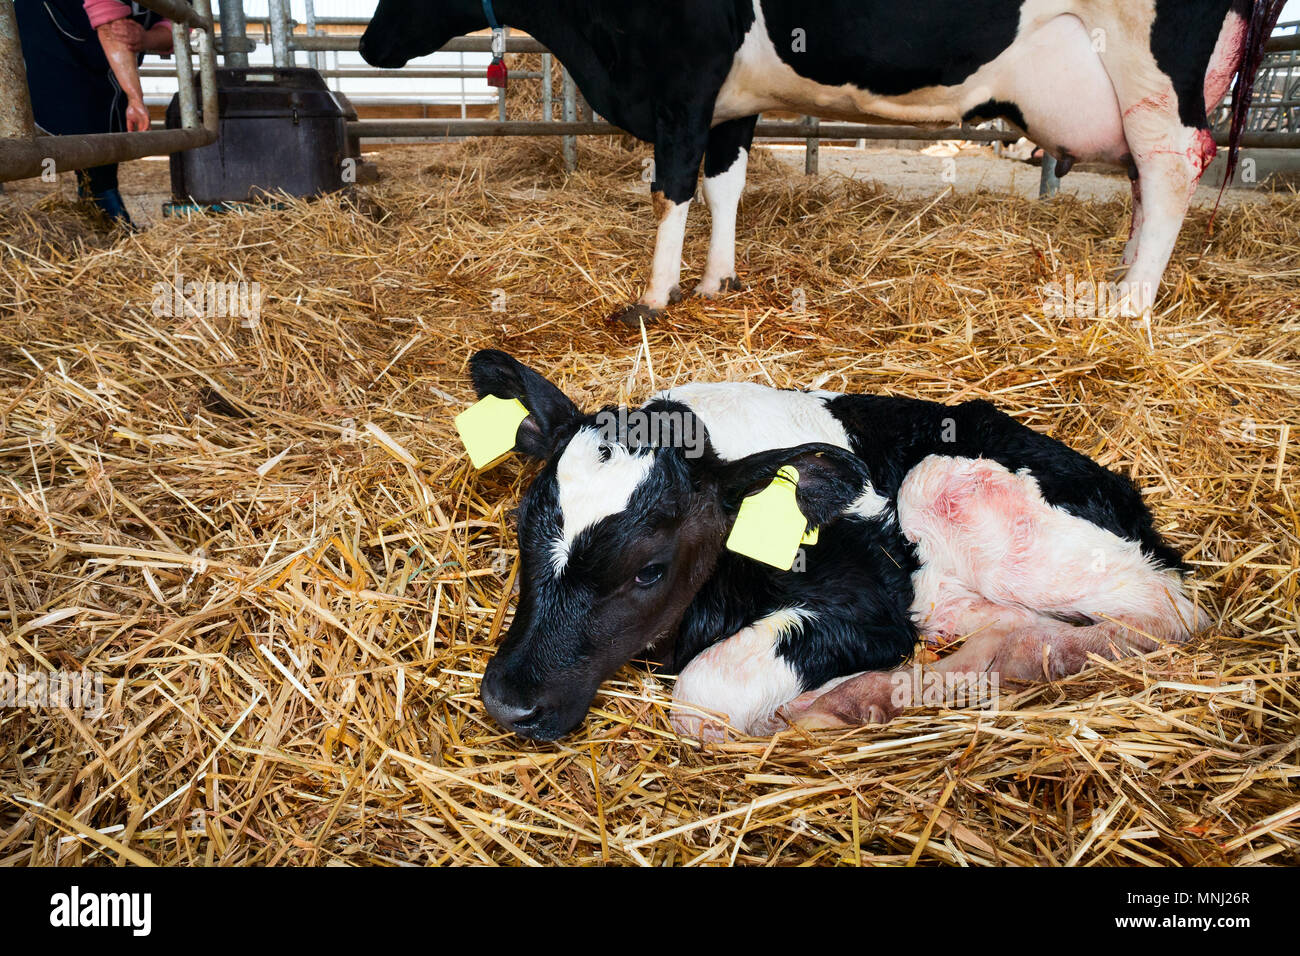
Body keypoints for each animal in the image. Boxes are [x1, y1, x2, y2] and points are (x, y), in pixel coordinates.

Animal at [360, 1, 1284, 324]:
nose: (366, 44)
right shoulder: (730, 98)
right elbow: (725, 183)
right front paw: (716, 281)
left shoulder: (684, 75)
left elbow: (672, 186)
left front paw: (652, 299)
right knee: (1144, 181)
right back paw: (1122, 274)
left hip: (1149, 63)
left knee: (1170, 163)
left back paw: (1128, 304)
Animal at [463, 349, 1207, 741]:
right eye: (524, 527)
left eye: (650, 569)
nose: (507, 702)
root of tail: (1128, 498)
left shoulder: (873, 604)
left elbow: (705, 694)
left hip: (944, 483)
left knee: (1166, 615)